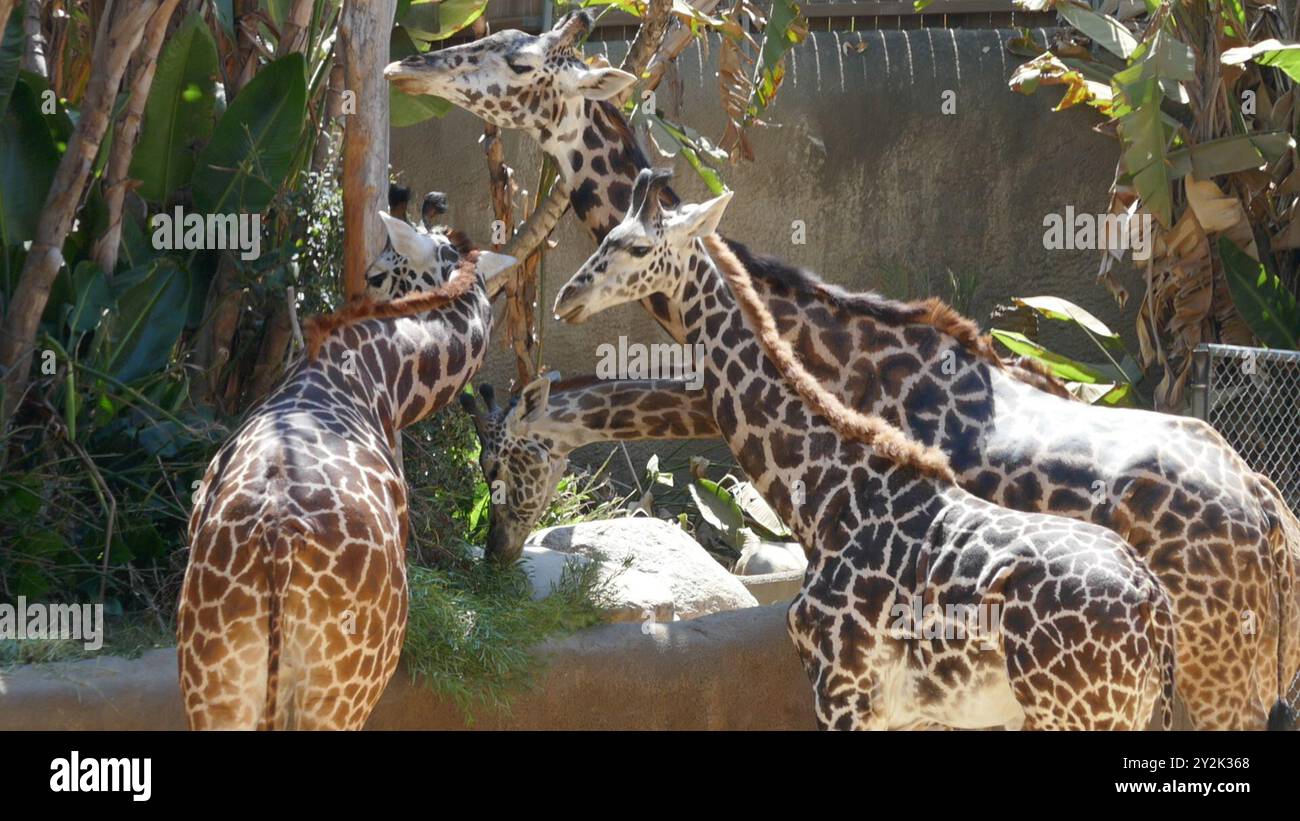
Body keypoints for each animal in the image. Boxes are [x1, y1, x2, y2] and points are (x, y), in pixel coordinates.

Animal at [551, 169, 1178, 729]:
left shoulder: (842, 690)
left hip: (1075, 710)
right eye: (603, 237)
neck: (820, 497)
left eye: (636, 247)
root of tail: (1151, 604)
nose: (565, 298)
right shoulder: (920, 714)